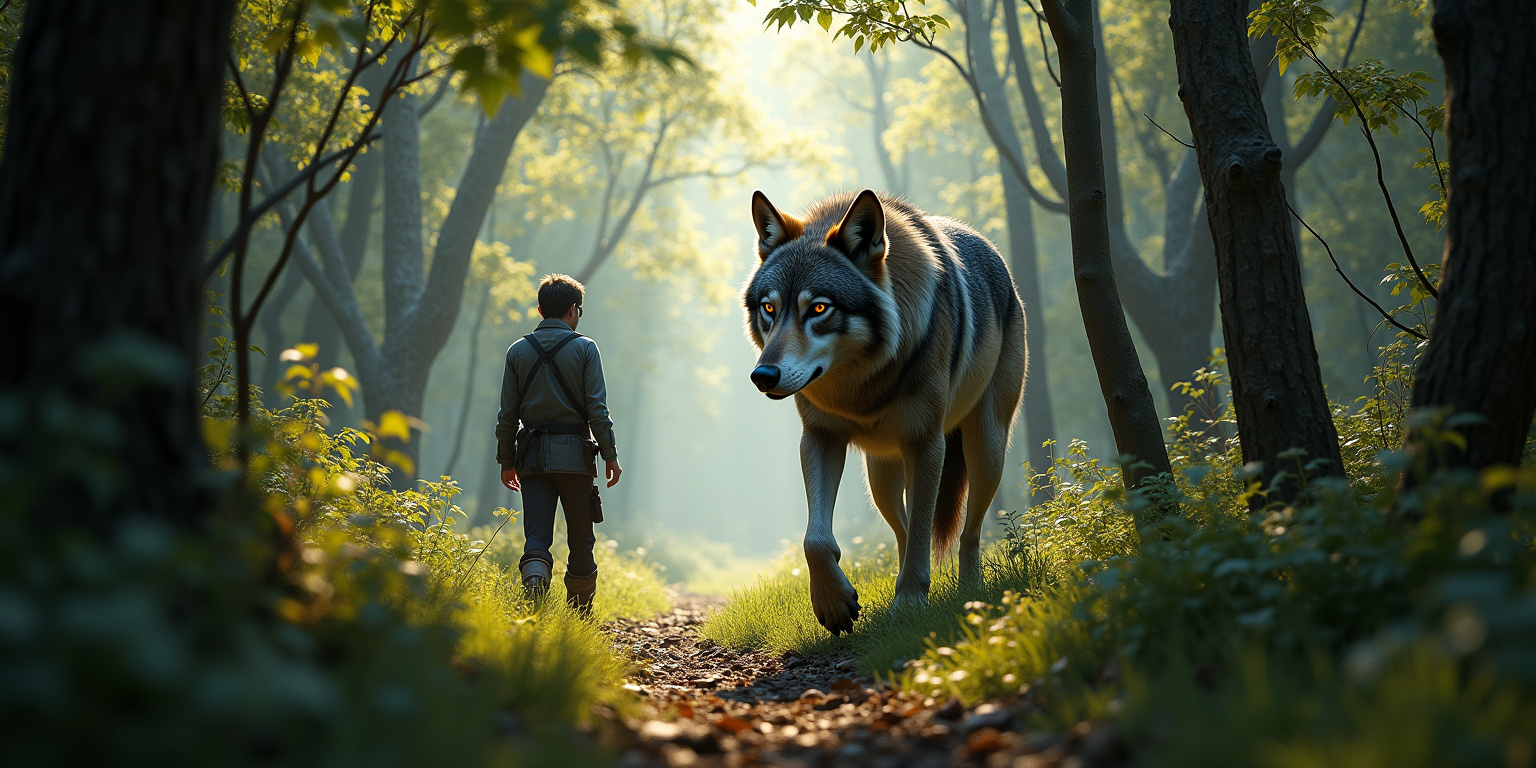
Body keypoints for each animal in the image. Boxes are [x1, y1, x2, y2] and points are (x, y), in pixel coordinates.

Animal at [742, 189, 1027, 635]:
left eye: (819, 309)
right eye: (769, 309)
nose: (762, 376)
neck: (860, 385)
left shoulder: (927, 445)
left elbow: (928, 534)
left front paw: (909, 605)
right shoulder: (819, 438)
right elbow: (815, 539)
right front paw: (834, 603)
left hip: (986, 450)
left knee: (968, 531)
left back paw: (968, 593)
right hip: (880, 477)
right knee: (906, 531)